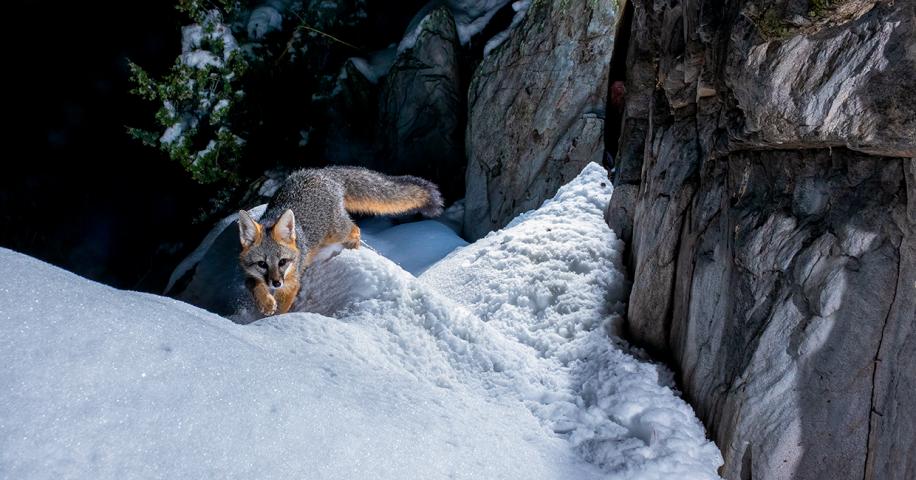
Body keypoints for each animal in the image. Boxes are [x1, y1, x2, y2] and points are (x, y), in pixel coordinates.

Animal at [237, 166, 444, 316]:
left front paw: (271, 322)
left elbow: (281, 308)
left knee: (356, 229)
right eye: (262, 264)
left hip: (337, 232)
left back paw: (353, 247)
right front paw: (265, 304)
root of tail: (322, 172)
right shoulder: (250, 276)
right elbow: (256, 287)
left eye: (282, 262)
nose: (276, 283)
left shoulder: (291, 283)